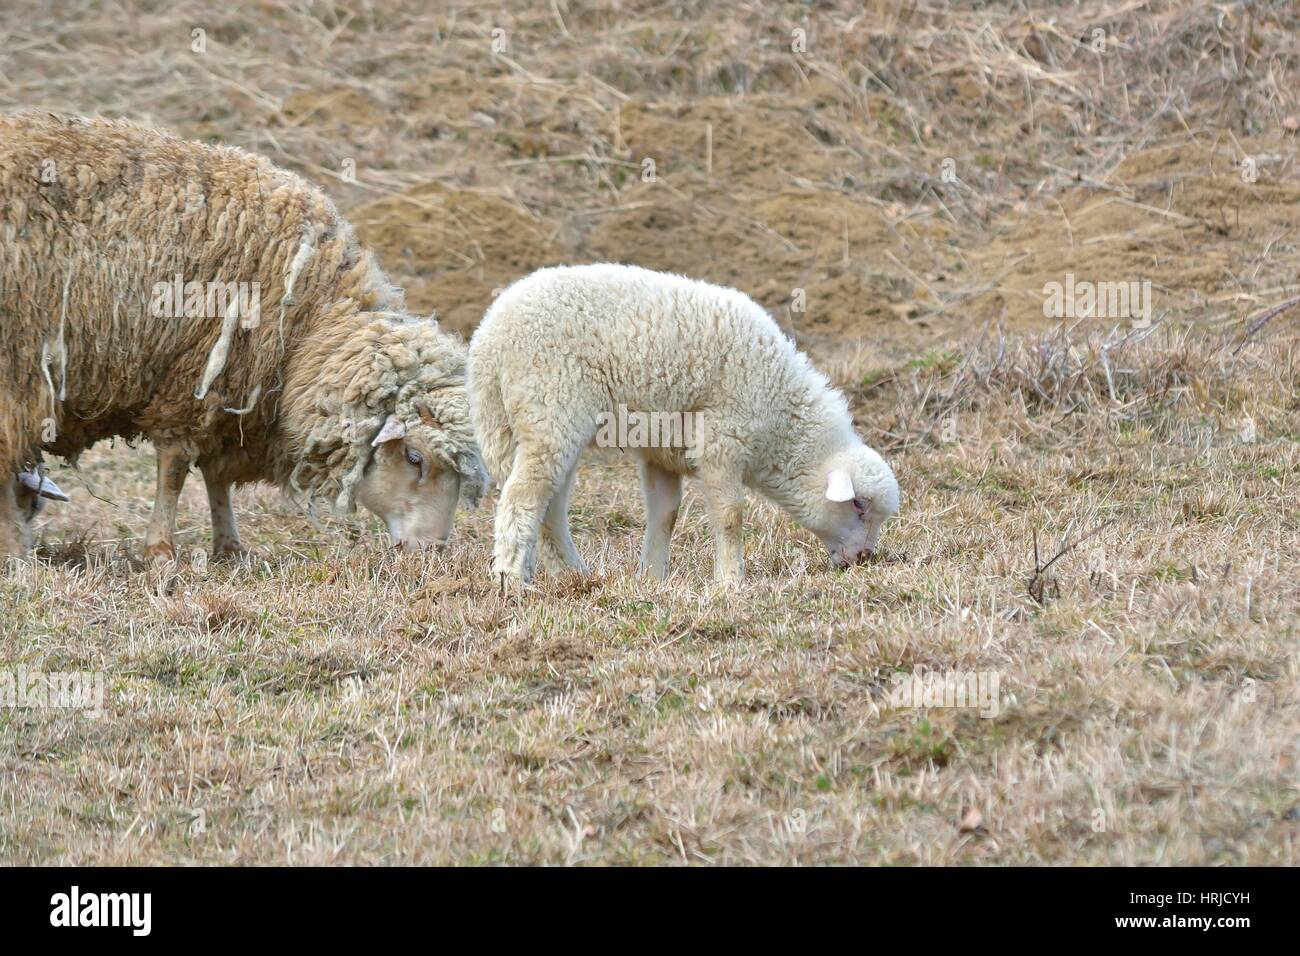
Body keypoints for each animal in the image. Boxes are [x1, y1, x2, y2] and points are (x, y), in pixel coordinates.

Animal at [0, 112, 483, 561]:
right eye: (415, 458)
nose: (431, 550)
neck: (309, 327)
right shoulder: (195, 377)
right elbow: (175, 468)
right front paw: (160, 552)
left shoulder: (233, 391)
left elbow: (217, 476)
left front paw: (229, 548)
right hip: (18, 362)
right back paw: (16, 553)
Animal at [467, 263, 900, 585]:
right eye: (858, 505)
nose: (864, 558)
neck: (780, 416)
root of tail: (491, 338)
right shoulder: (724, 437)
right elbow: (730, 515)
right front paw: (730, 583)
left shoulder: (660, 452)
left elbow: (665, 515)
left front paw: (651, 577)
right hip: (550, 408)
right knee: (524, 496)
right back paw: (512, 580)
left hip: (514, 424)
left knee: (549, 506)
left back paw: (574, 575)